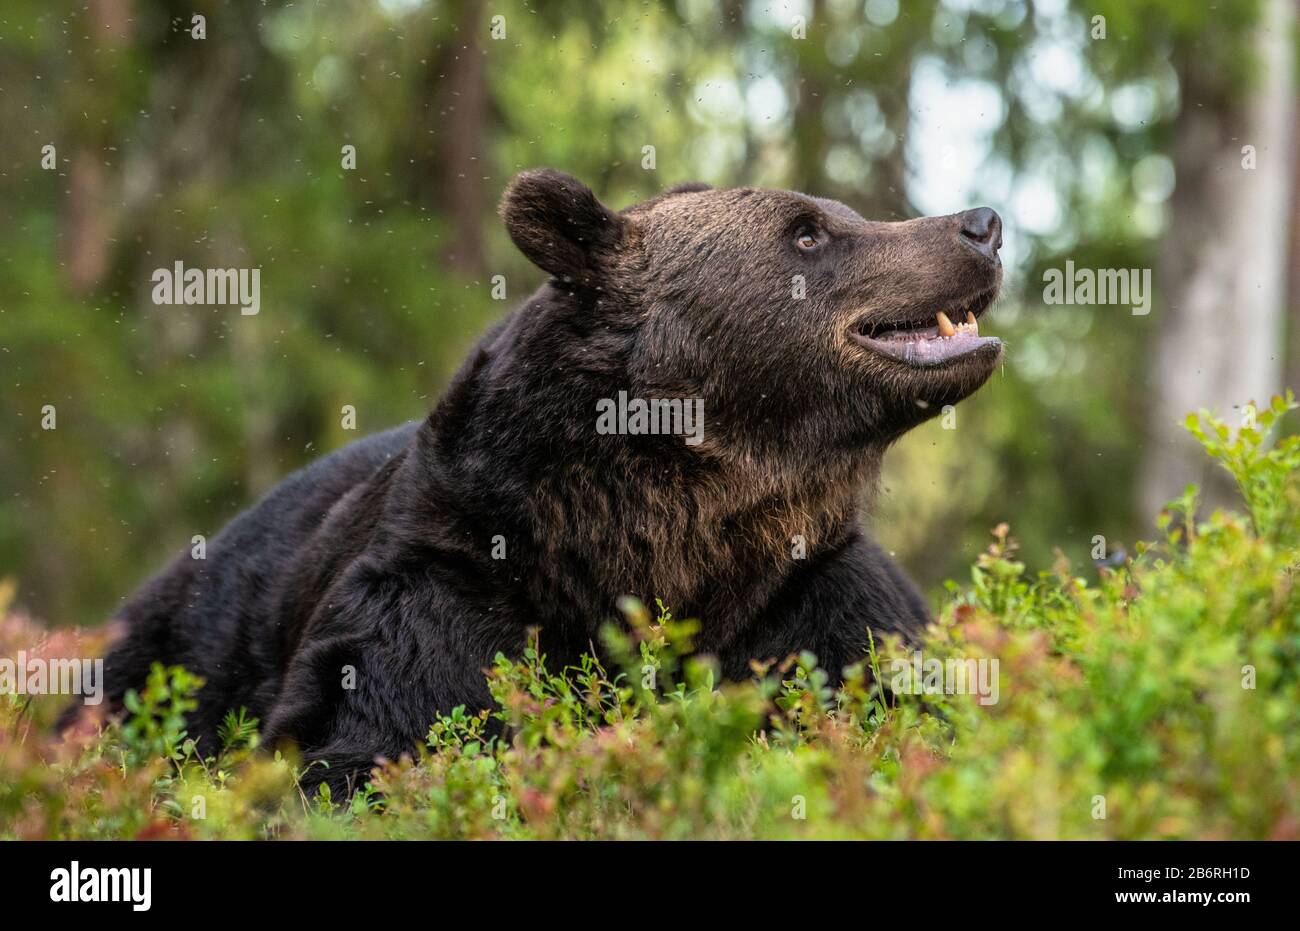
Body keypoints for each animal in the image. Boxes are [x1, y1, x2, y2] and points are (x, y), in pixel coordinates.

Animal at [64, 169, 1004, 796]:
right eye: (808, 231)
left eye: (847, 212)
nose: (982, 224)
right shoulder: (456, 573)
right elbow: (376, 734)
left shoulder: (807, 592)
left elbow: (891, 691)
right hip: (177, 644)